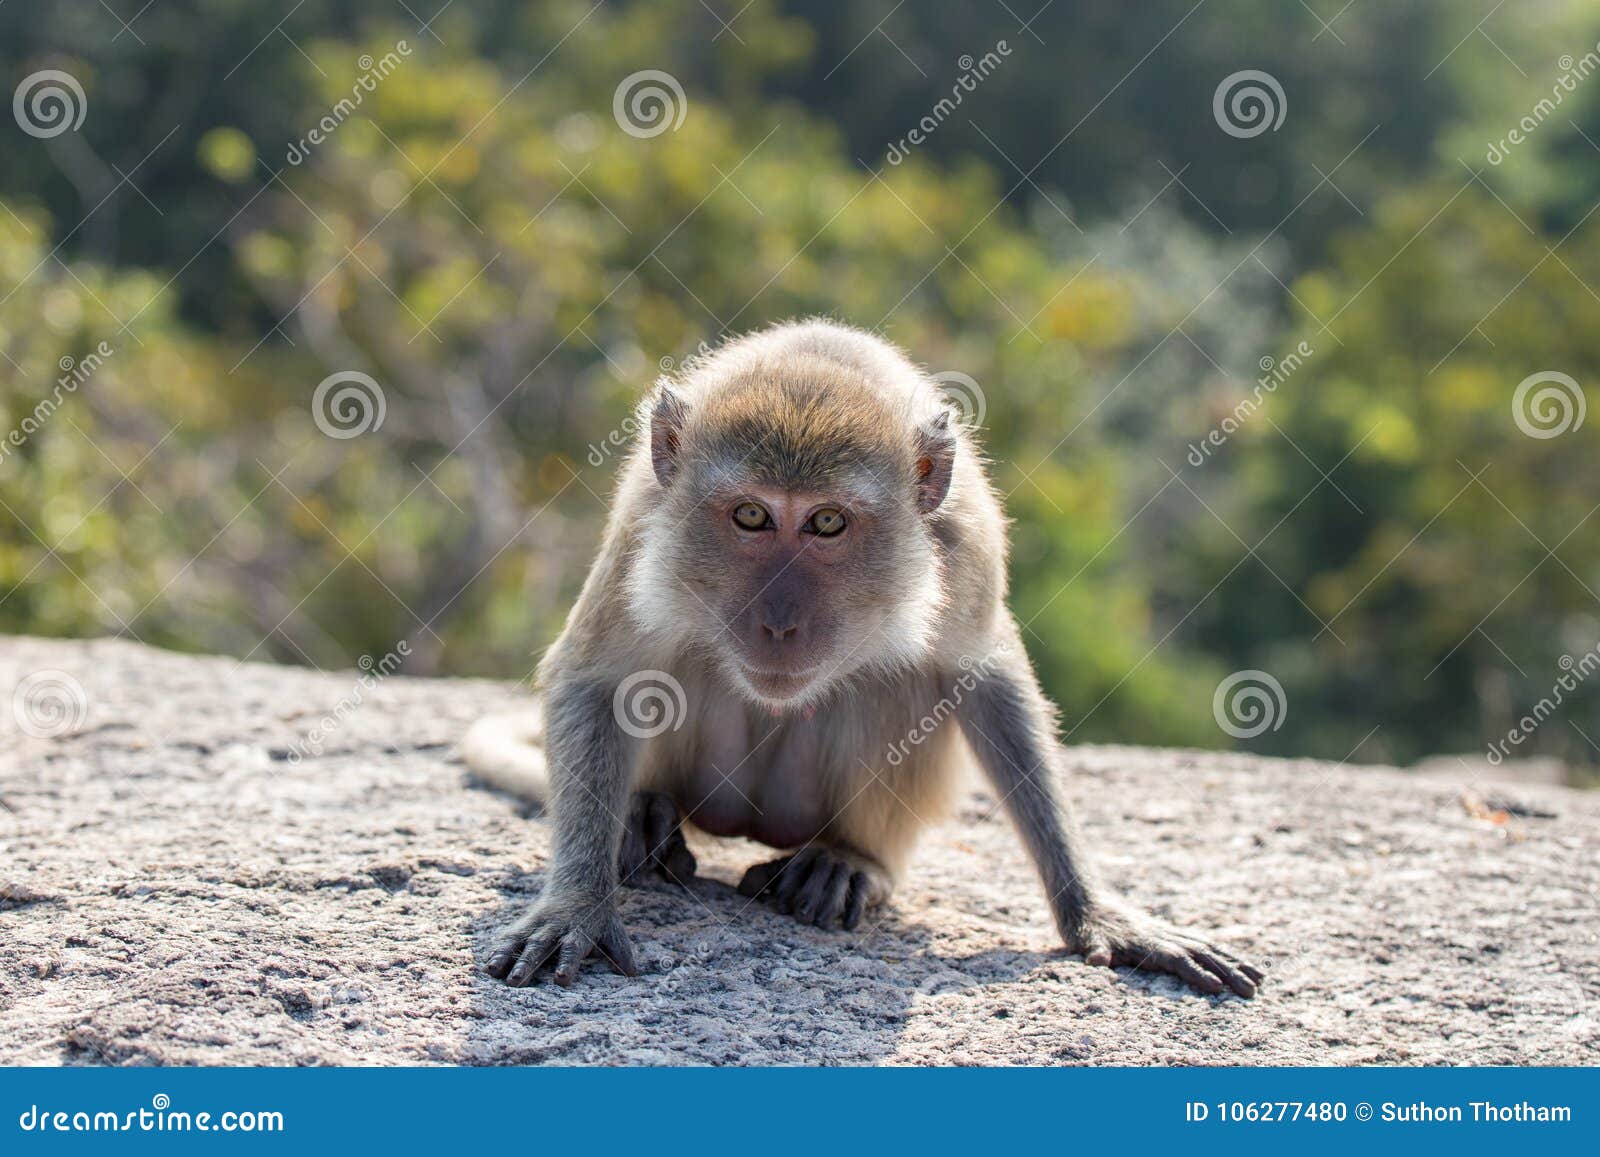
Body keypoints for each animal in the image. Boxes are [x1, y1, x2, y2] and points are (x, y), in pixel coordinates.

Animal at [465, 318, 1262, 997]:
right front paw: (579, 903)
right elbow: (597, 680)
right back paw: (644, 817)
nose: (779, 623)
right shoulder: (642, 526)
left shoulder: (962, 545)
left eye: (826, 522)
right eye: (751, 515)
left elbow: (987, 683)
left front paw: (1099, 913)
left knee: (893, 685)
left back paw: (846, 863)